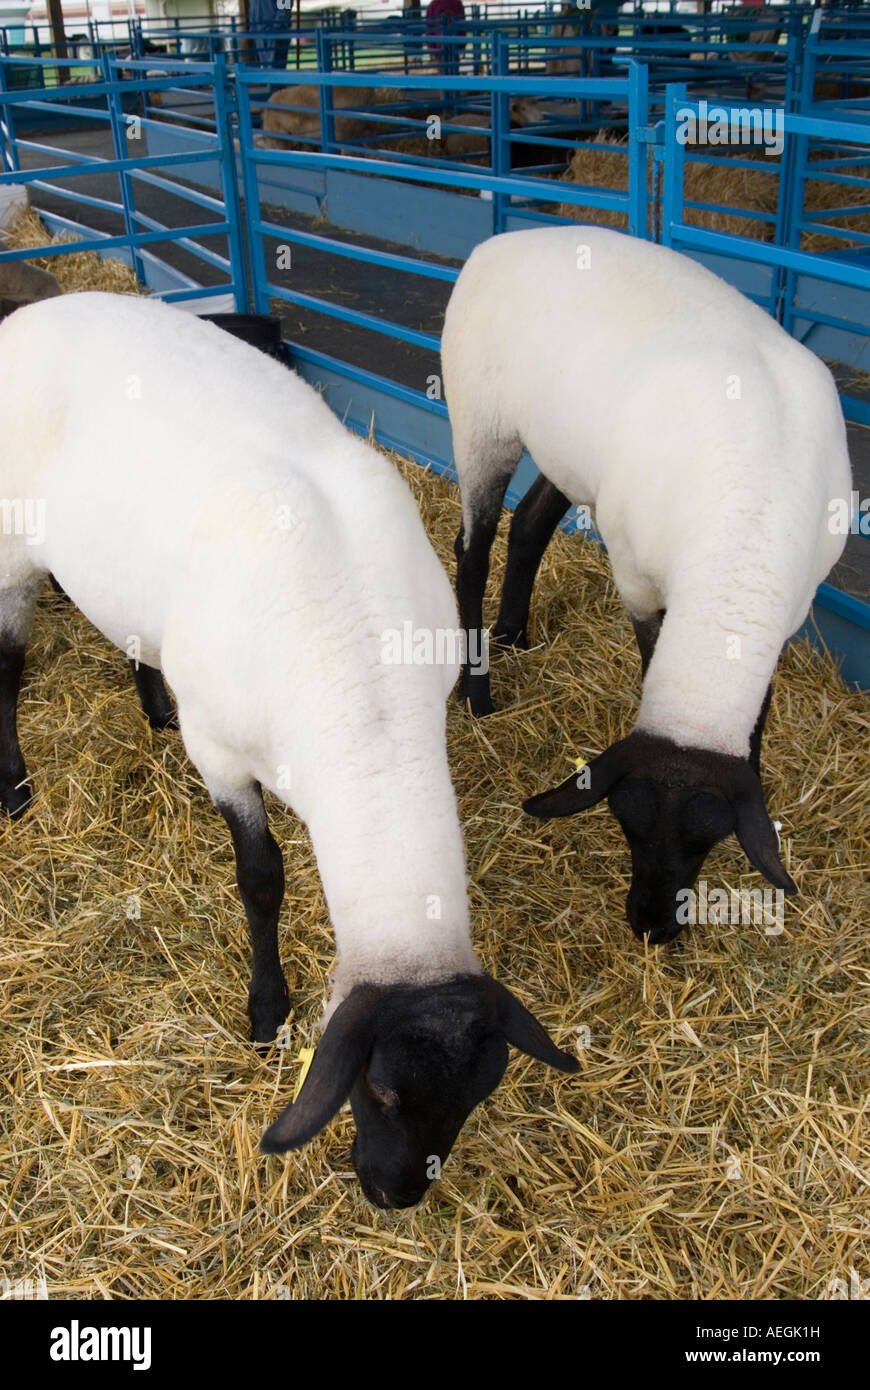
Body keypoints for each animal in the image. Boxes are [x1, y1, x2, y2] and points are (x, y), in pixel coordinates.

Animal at [0, 291, 577, 1210]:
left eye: (477, 1096)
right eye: (378, 1090)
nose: (394, 1195)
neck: (364, 708)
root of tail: (36, 307)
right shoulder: (220, 752)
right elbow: (262, 879)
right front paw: (266, 1011)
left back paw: (151, 706)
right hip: (11, 549)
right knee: (9, 665)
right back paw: (16, 786)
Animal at [441, 225, 851, 945]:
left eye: (709, 843)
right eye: (624, 826)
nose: (652, 929)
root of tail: (503, 240)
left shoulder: (788, 611)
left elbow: (759, 712)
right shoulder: (635, 577)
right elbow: (651, 656)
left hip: (567, 447)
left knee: (532, 522)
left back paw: (514, 631)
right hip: (481, 424)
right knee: (473, 552)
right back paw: (479, 691)